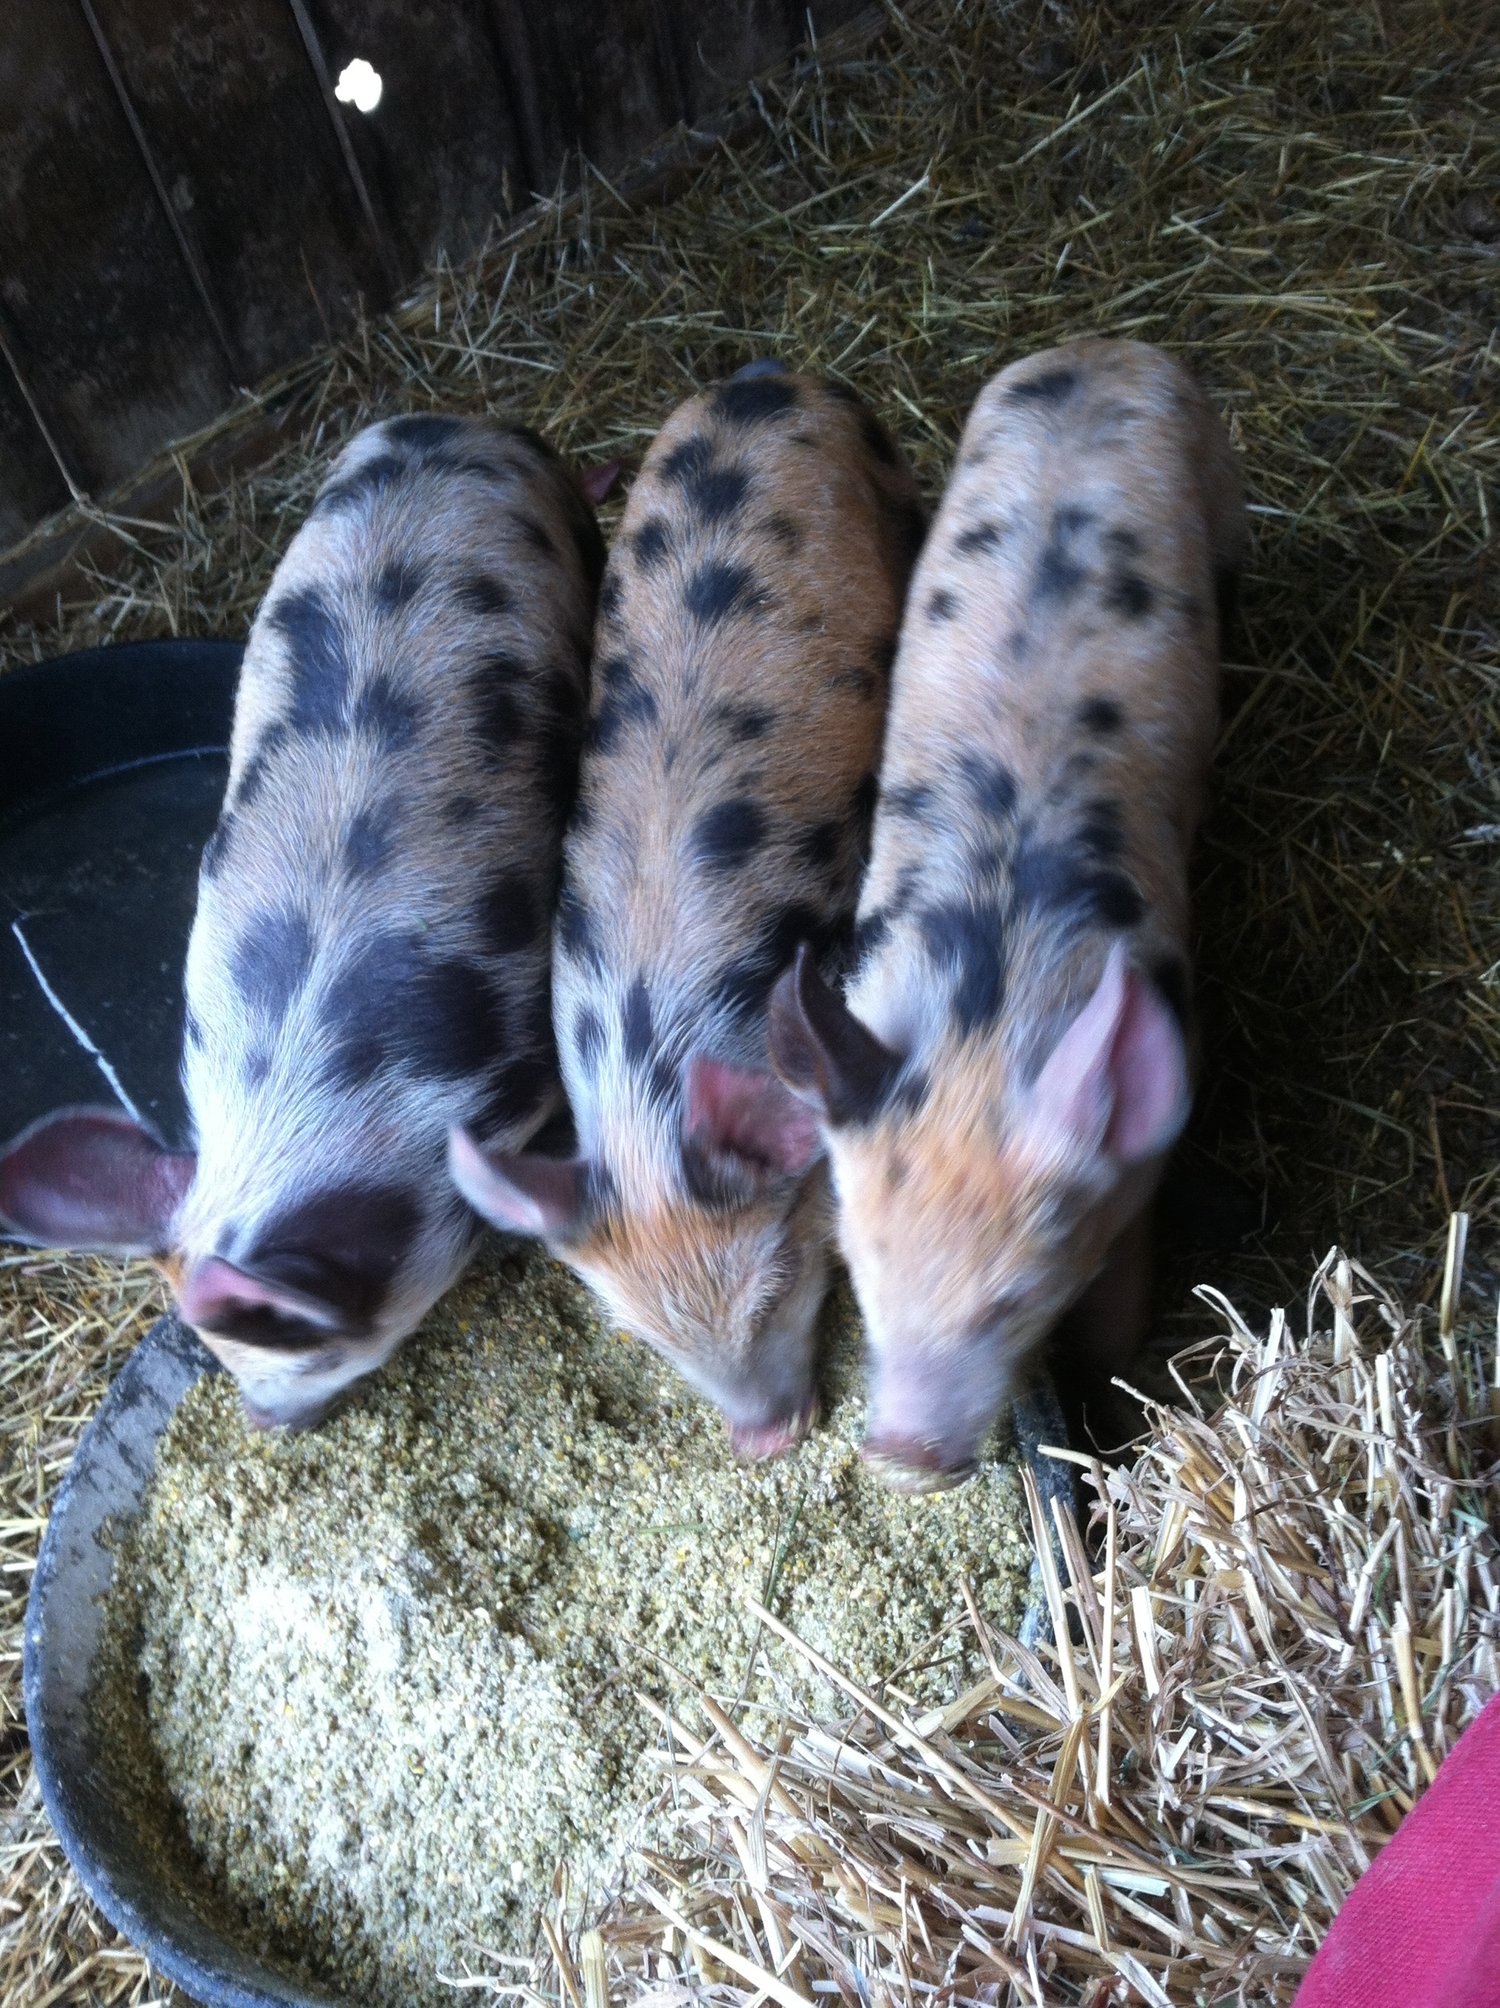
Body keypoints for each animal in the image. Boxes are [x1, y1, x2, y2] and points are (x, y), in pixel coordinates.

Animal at [449, 362, 925, 1455]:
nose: (766, 1440)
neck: (645, 1061)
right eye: (641, 1339)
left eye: (778, 1281)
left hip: (887, 473)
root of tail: (767, 382)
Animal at [767, 339, 1246, 1488]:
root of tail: (1102, 349)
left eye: (1015, 1298)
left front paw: (1109, 1394)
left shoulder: (1143, 1165)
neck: (987, 1016)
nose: (899, 1454)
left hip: (1219, 478)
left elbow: (1123, 1302)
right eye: (862, 1274)